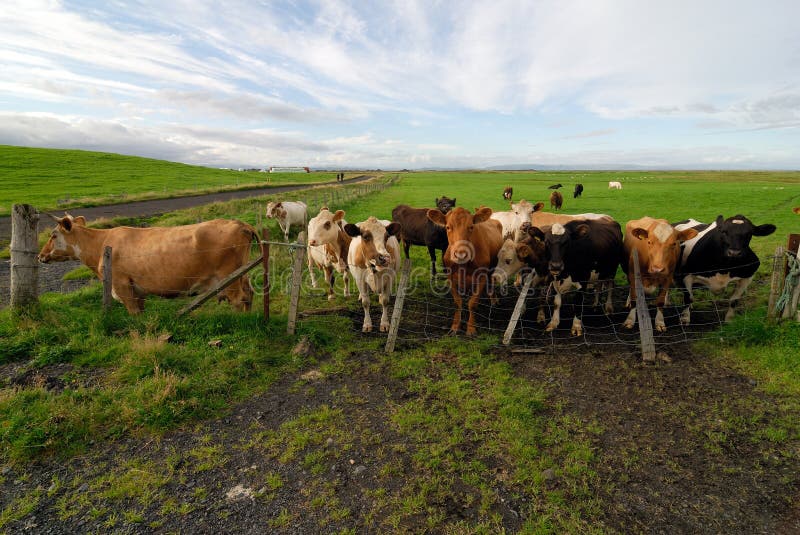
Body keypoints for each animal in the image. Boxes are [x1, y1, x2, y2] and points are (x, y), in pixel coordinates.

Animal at [37, 214, 256, 314]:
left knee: (240, 298)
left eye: (53, 235)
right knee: (250, 293)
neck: (101, 244)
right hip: (242, 274)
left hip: (229, 277)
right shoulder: (137, 290)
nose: (40, 256)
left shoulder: (122, 286)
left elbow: (134, 314)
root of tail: (241, 224)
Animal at [427, 207, 503, 336]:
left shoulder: (481, 275)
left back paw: (493, 299)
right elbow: (458, 302)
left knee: (491, 281)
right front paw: (455, 326)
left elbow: (472, 303)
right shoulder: (450, 276)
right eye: (448, 227)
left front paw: (471, 328)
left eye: (471, 227)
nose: (461, 254)